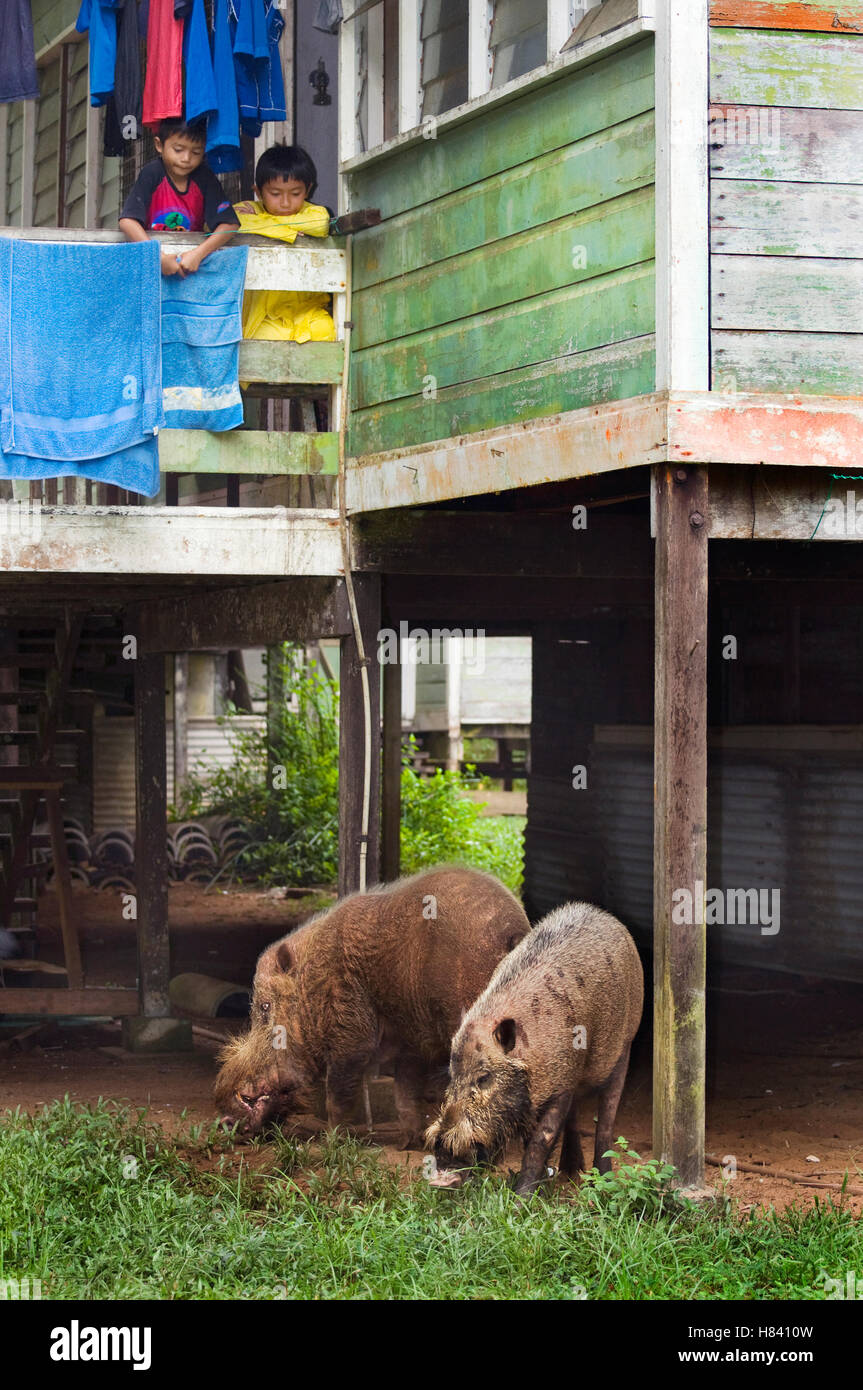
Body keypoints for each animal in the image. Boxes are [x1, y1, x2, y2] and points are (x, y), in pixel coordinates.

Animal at [215, 865, 530, 1148]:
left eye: (265, 1007)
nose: (224, 1120)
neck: (315, 982)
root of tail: (513, 929)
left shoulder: (351, 1036)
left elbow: (338, 1094)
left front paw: (331, 1142)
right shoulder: (411, 1044)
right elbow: (405, 1093)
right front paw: (407, 1144)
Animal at [426, 901, 643, 1197]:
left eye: (484, 1078)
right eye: (452, 1074)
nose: (440, 1177)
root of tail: (607, 917)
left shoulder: (562, 1085)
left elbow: (542, 1139)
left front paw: (522, 1198)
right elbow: (534, 1137)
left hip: (624, 1046)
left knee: (607, 1118)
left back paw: (599, 1181)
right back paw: (570, 1173)